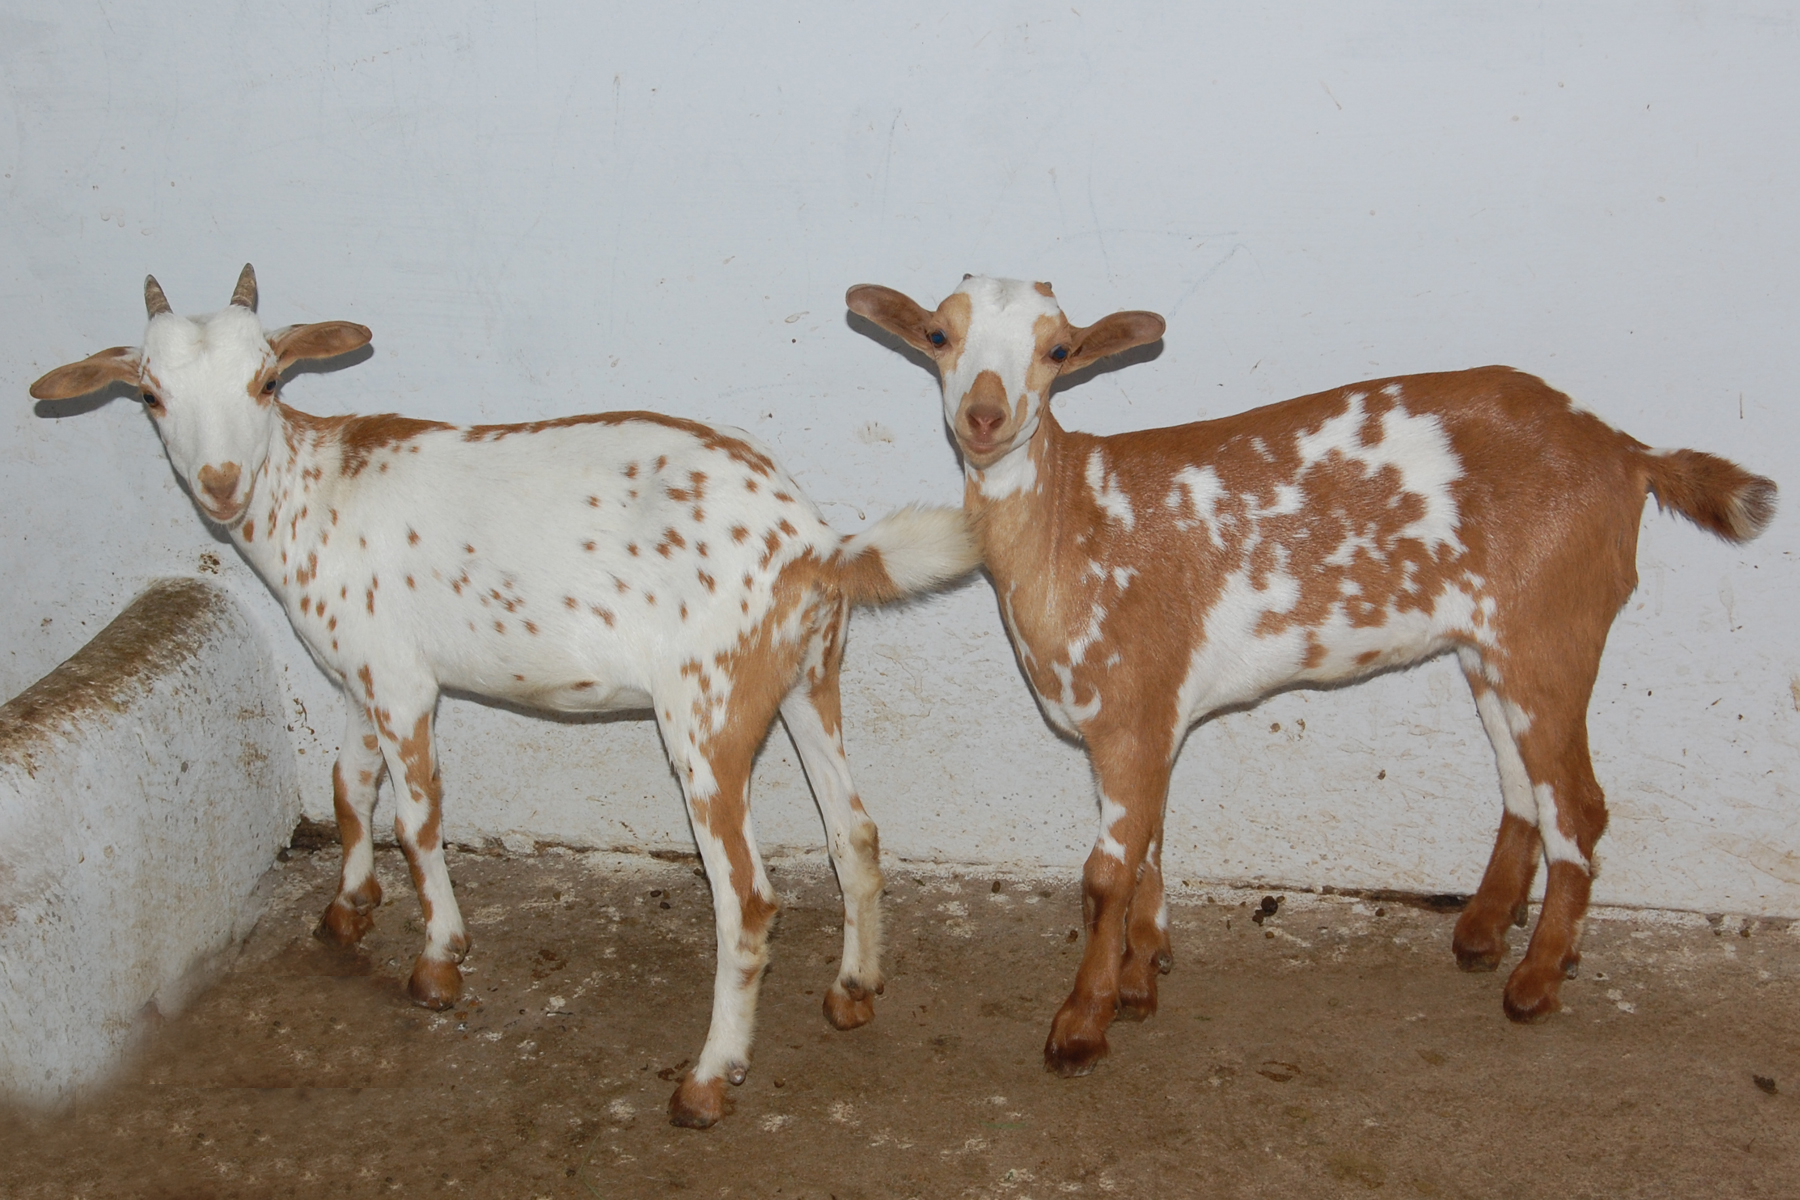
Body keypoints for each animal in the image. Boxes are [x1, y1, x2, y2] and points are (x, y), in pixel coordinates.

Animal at [30, 265, 979, 1126]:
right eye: (150, 395)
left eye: (268, 381)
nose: (222, 482)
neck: (314, 493)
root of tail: (815, 543)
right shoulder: (360, 677)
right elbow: (347, 787)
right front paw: (347, 908)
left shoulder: (401, 686)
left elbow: (416, 820)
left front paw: (439, 960)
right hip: (806, 680)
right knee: (854, 832)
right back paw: (854, 989)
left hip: (706, 714)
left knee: (747, 900)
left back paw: (708, 1079)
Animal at [846, 274, 1777, 1077]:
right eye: (940, 334)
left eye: (1060, 349)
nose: (986, 416)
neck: (1075, 519)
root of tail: (1627, 450)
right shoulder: (1151, 722)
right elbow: (1150, 847)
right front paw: (1143, 981)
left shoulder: (1129, 711)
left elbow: (1106, 875)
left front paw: (1082, 1023)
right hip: (1491, 646)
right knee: (1523, 782)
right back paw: (1486, 930)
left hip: (1549, 629)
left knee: (1577, 804)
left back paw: (1539, 978)